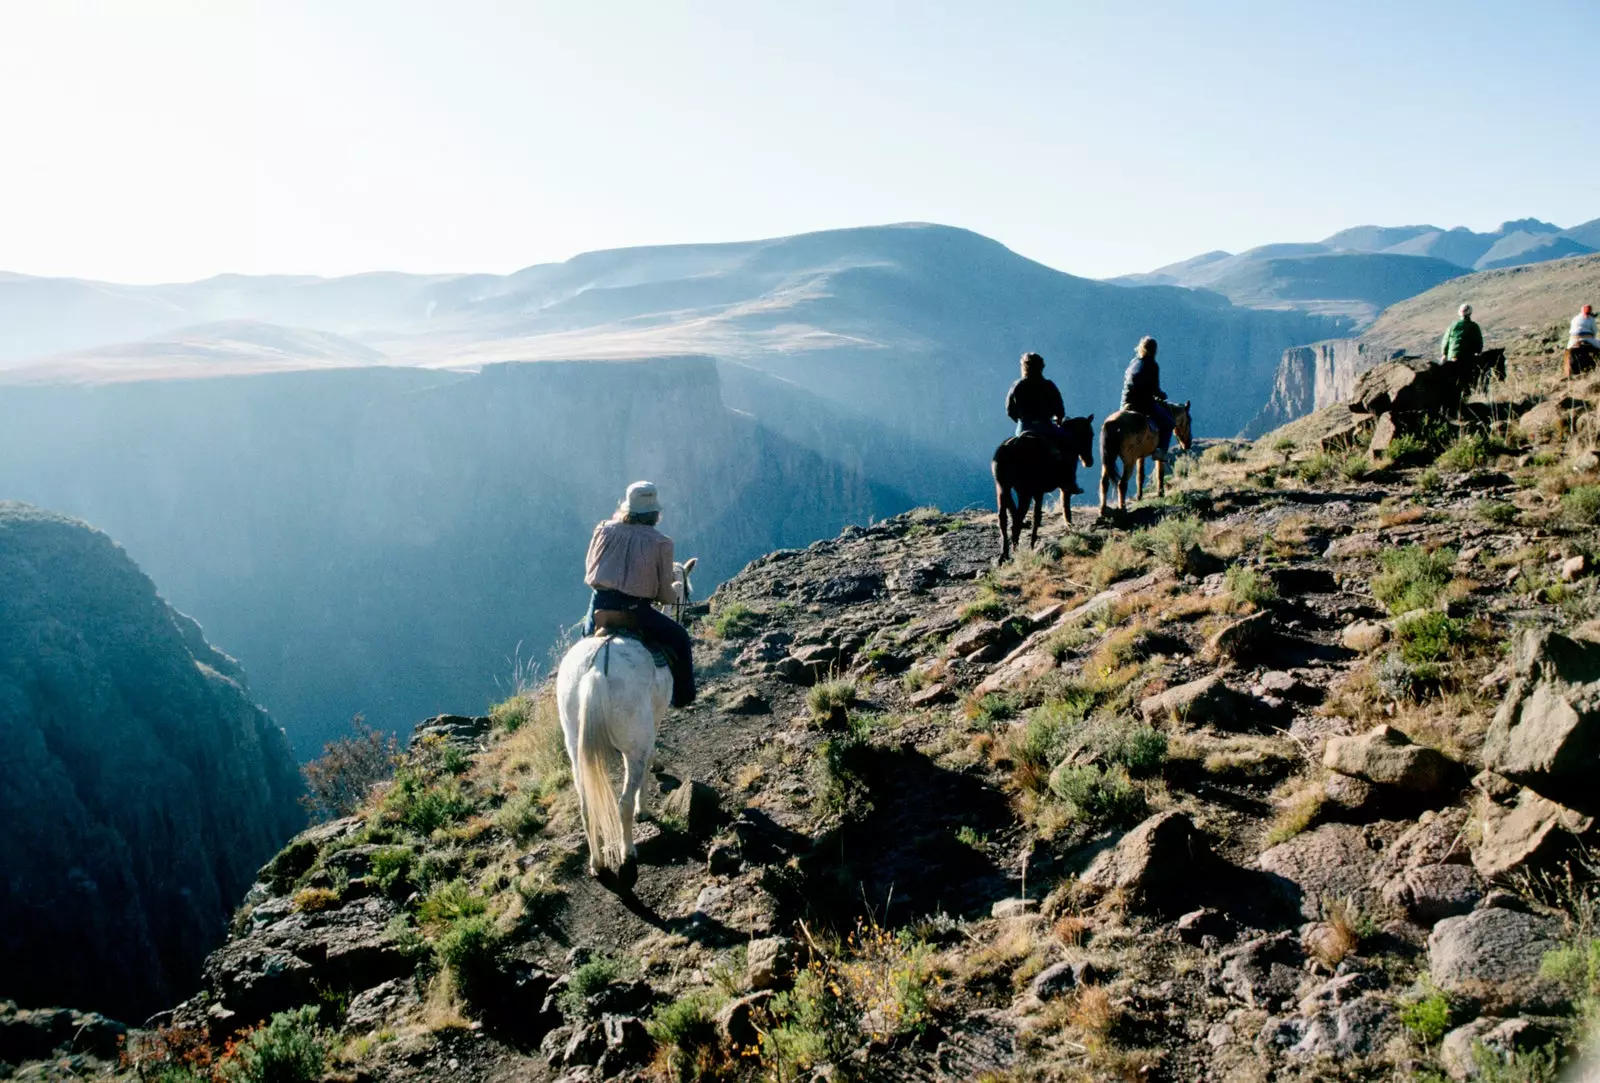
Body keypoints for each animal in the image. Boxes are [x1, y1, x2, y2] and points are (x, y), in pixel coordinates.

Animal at [556, 553, 694, 883]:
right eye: (684, 585)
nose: (687, 603)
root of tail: (595, 671)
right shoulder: (650, 727)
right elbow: (647, 765)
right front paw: (646, 804)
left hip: (575, 748)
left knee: (586, 807)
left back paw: (597, 862)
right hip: (634, 744)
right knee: (623, 802)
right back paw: (627, 852)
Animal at [992, 412, 1094, 563]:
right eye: (1091, 434)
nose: (1089, 462)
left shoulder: (1036, 492)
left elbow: (1036, 516)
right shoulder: (1047, 490)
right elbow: (1061, 507)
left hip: (1002, 488)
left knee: (1004, 519)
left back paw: (1004, 554)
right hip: (1025, 492)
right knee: (1016, 520)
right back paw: (1015, 551)